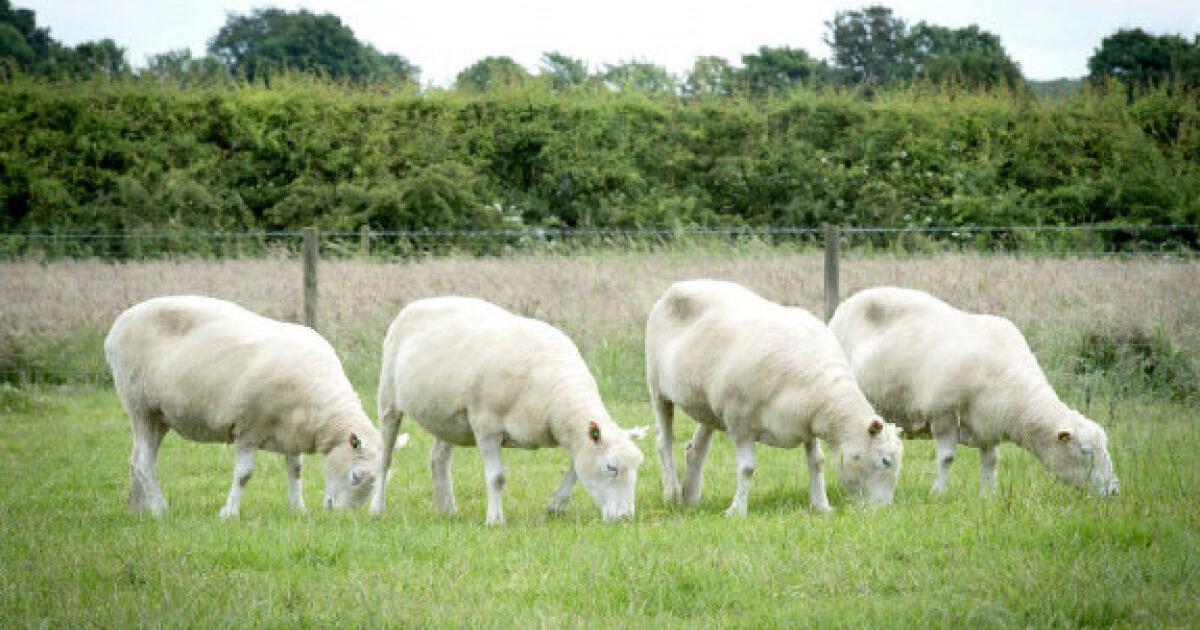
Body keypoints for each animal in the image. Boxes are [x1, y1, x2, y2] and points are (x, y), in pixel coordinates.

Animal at [104, 295, 384, 518]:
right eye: (356, 476)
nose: (341, 516)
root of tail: (117, 326)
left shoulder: (291, 434)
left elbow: (296, 471)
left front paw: (298, 509)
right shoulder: (248, 428)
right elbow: (244, 475)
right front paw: (229, 513)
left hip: (159, 416)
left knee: (136, 460)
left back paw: (138, 509)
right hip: (139, 406)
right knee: (144, 462)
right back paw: (160, 509)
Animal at [373, 296, 647, 525]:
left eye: (637, 467)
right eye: (611, 468)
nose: (625, 518)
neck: (555, 394)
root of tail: (421, 301)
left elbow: (576, 470)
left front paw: (556, 505)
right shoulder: (486, 426)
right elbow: (497, 477)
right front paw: (495, 520)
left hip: (449, 418)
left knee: (438, 458)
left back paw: (448, 510)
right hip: (388, 398)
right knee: (385, 457)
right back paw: (377, 509)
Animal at [645, 280, 903, 515]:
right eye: (885, 461)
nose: (883, 510)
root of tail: (677, 286)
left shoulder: (807, 422)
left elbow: (817, 462)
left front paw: (821, 506)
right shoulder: (740, 422)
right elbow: (747, 468)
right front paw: (737, 512)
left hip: (708, 408)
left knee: (695, 449)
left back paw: (690, 497)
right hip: (657, 386)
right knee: (663, 442)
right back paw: (672, 493)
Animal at [829, 286, 1119, 497]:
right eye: (1085, 451)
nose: (1114, 491)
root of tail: (847, 303)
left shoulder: (988, 425)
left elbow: (991, 462)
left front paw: (987, 497)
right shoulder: (944, 414)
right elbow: (947, 458)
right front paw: (938, 493)